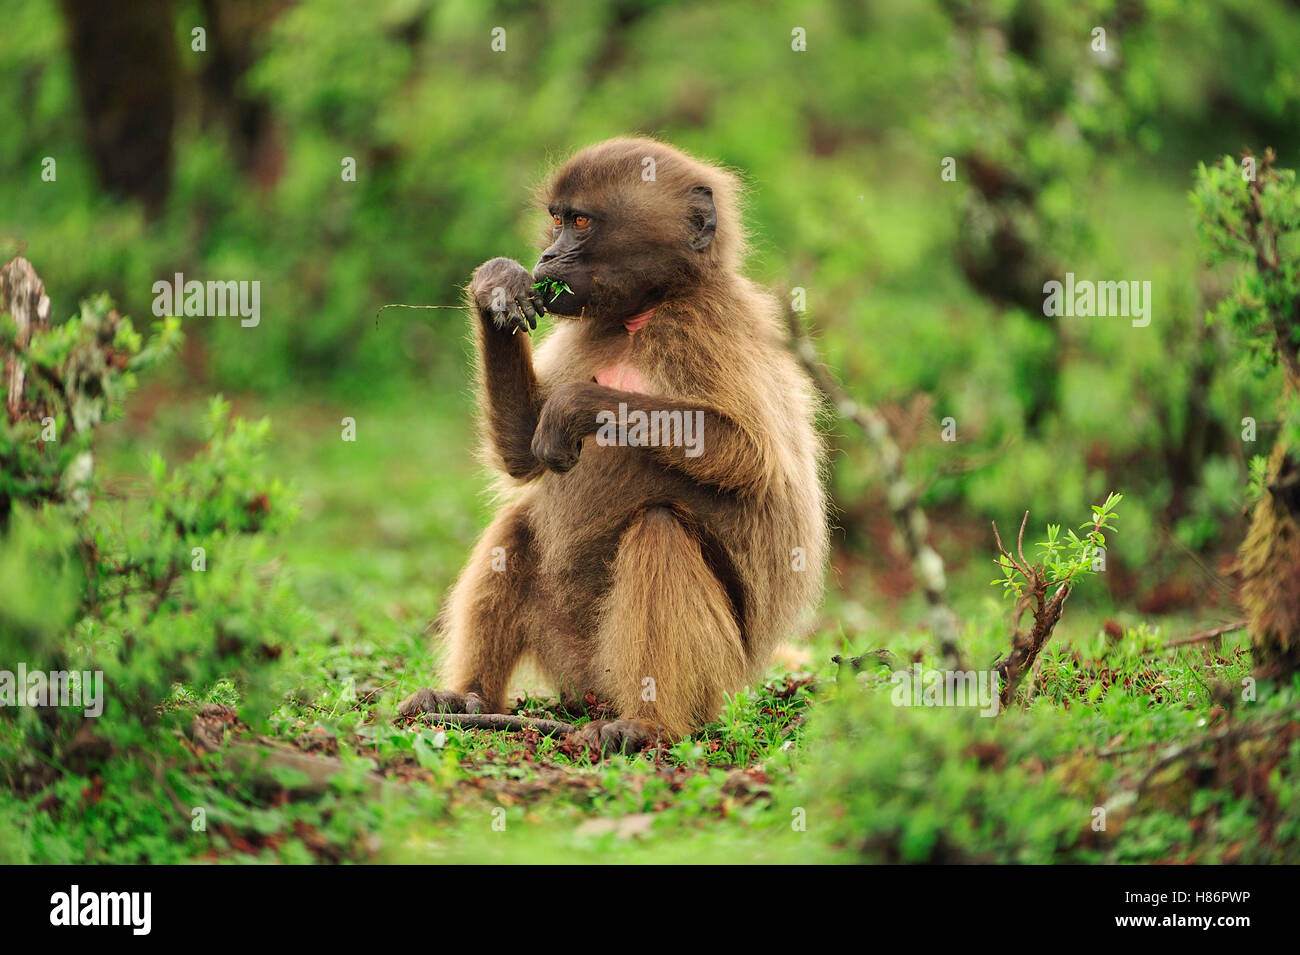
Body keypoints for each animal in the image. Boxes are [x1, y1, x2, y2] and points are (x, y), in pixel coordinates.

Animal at [399, 137, 828, 754]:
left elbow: (752, 458)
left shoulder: (707, 327)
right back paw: (467, 698)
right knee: (520, 524)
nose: (547, 258)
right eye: (555, 220)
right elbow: (524, 458)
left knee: (659, 528)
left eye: (580, 222)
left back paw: (646, 724)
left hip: (712, 678)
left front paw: (577, 405)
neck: (643, 313)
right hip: (571, 653)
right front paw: (497, 289)